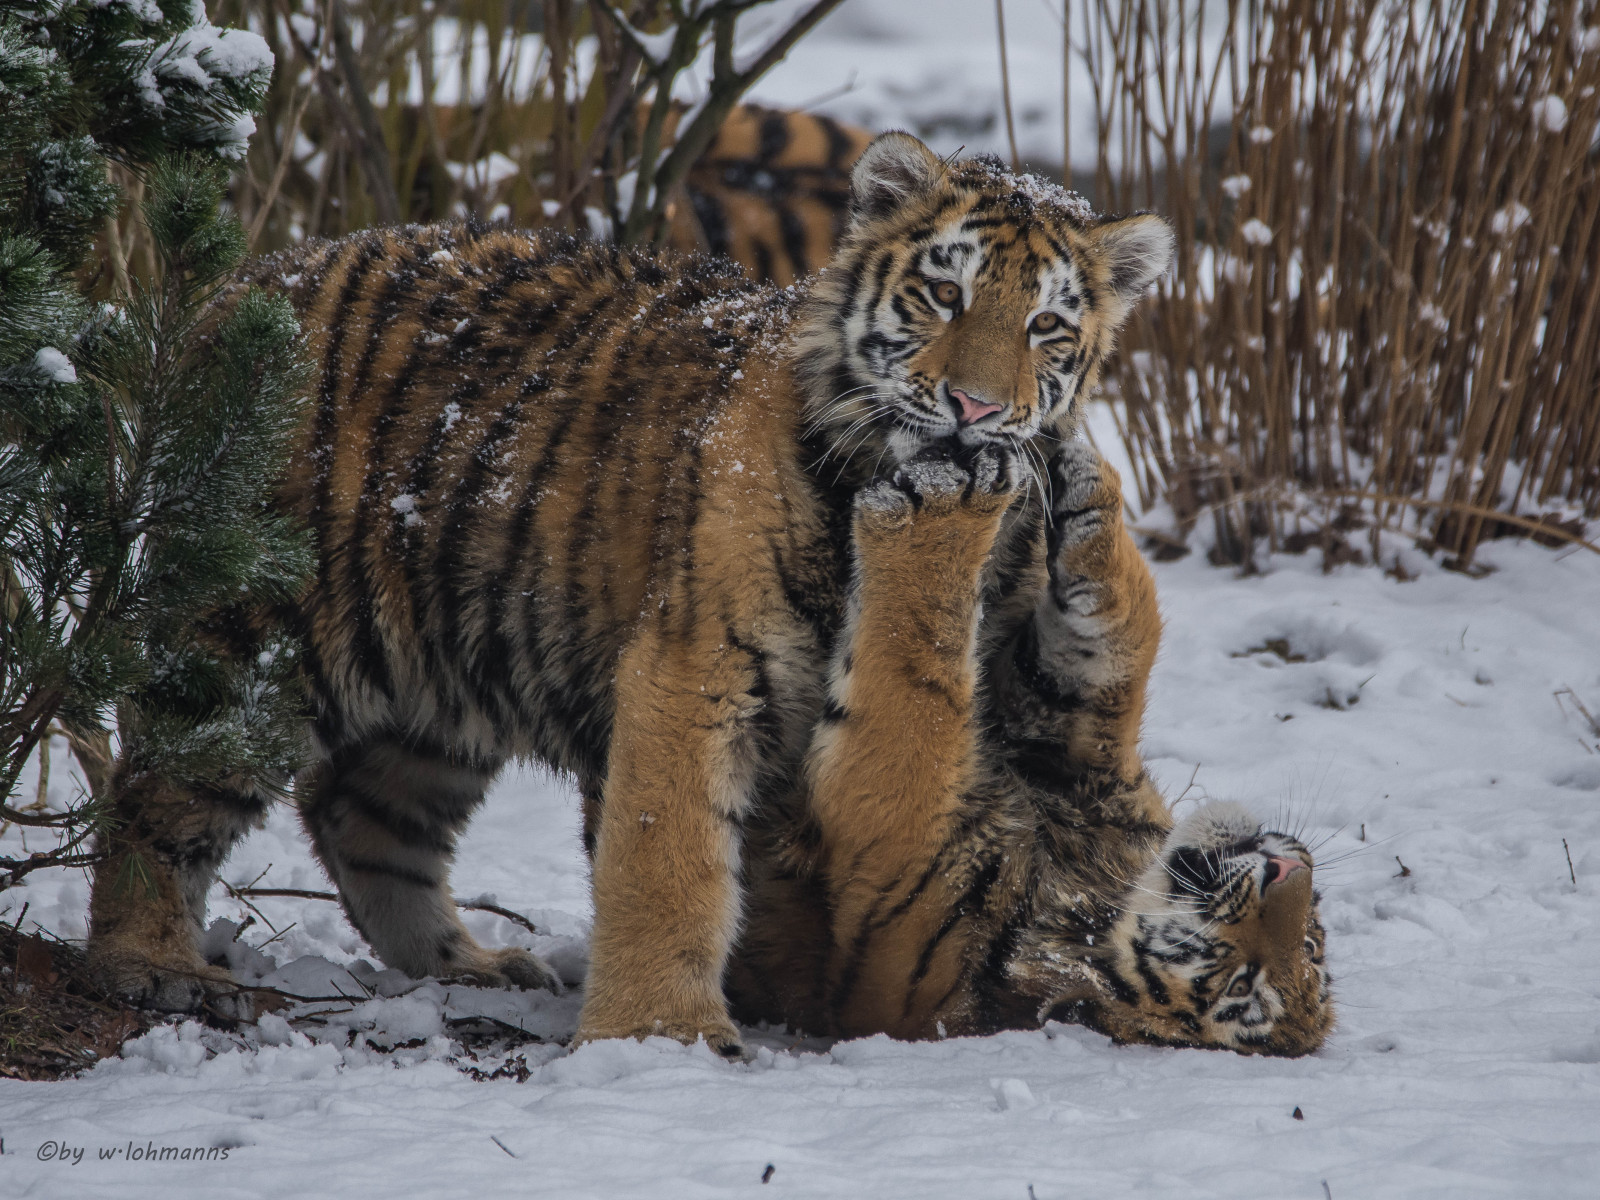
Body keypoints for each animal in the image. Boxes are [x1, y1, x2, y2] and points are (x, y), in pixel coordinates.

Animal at [84, 130, 1332, 1057]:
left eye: (1047, 326)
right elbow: (670, 854)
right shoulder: (699, 665)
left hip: (448, 673)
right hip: (252, 641)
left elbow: (1091, 652)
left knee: (360, 816)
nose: (979, 413)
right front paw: (663, 1038)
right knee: (151, 803)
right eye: (943, 293)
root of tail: (246, 280)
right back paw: (153, 967)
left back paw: (472, 963)